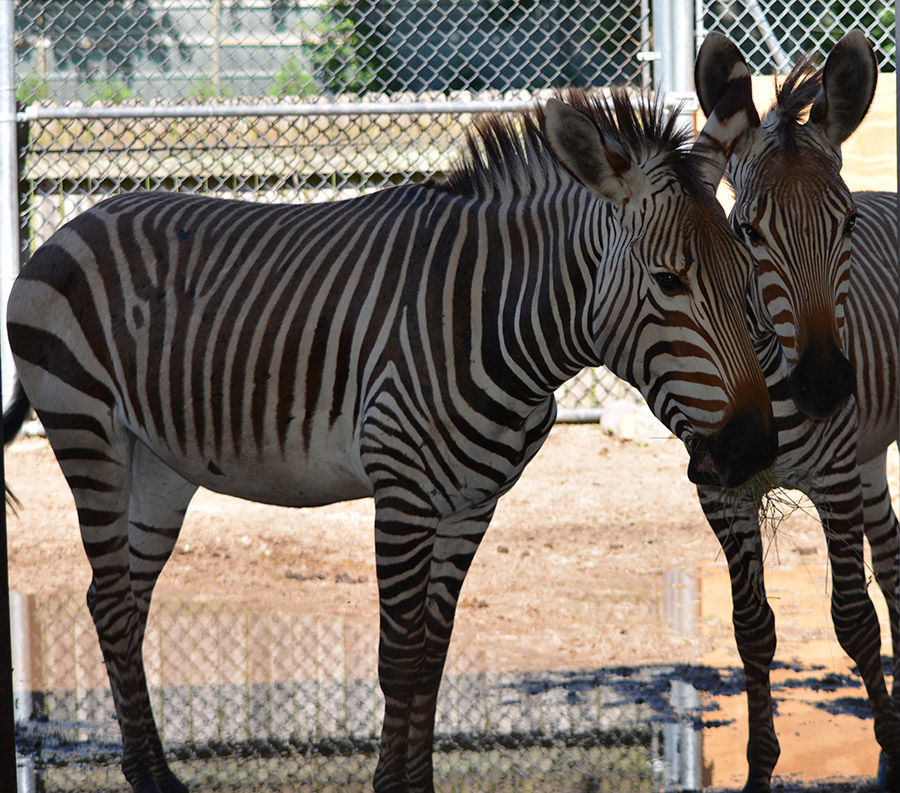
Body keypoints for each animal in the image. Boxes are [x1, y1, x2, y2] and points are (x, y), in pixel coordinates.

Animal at [4, 88, 777, 793]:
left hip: (159, 467)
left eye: (747, 276)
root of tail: (76, 222)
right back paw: (148, 773)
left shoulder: (471, 504)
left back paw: (154, 770)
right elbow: (400, 659)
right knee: (110, 603)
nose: (752, 450)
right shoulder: (402, 490)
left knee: (123, 601)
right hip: (88, 432)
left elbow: (434, 655)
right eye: (669, 281)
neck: (497, 321)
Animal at [694, 32, 900, 791]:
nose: (824, 386)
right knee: (894, 563)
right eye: (748, 233)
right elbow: (752, 629)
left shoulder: (834, 479)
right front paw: (759, 768)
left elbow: (854, 620)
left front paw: (892, 747)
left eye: (847, 222)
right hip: (868, 455)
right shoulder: (723, 493)